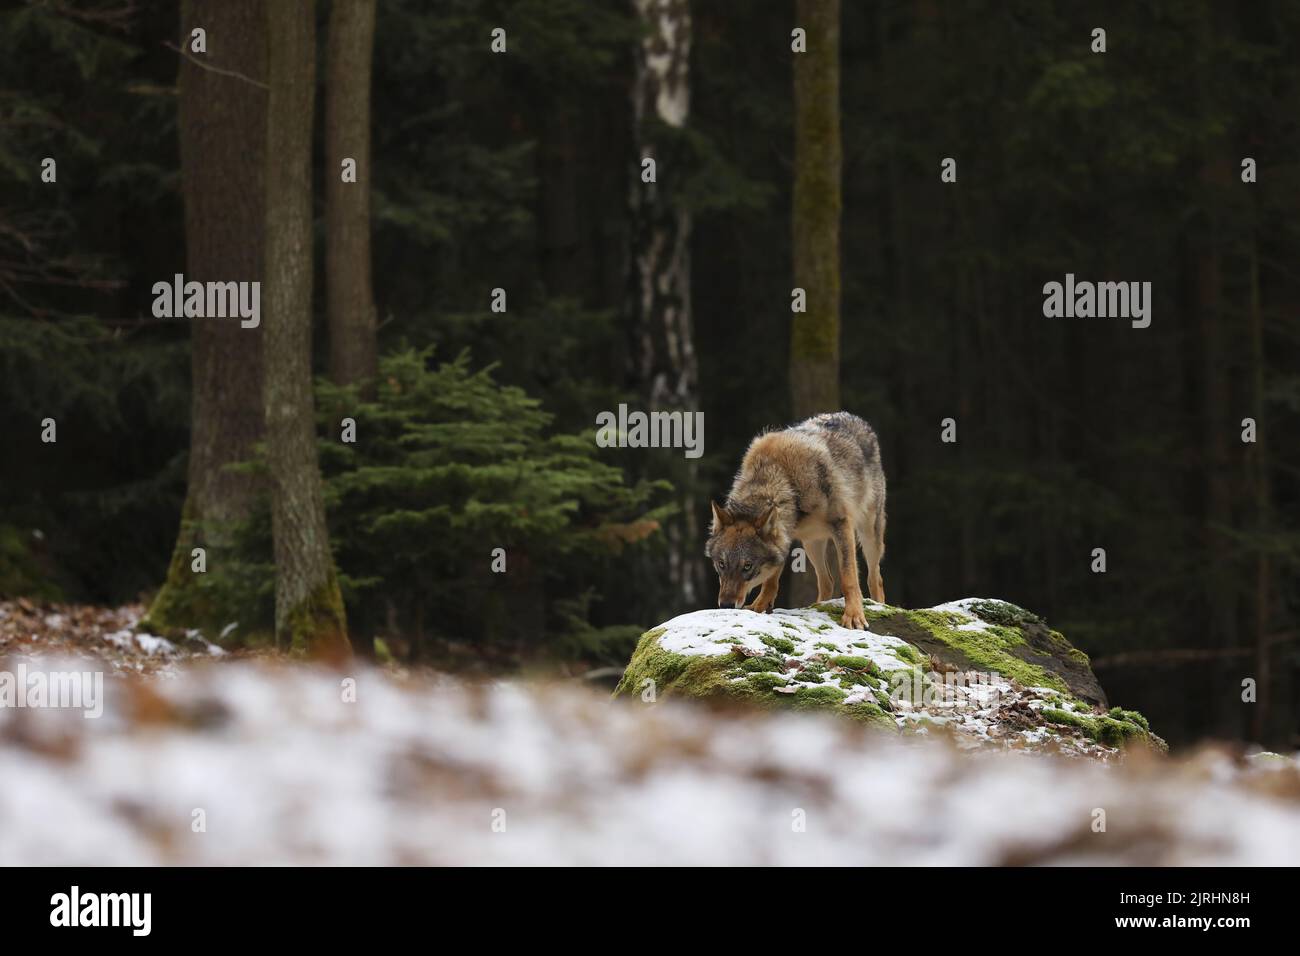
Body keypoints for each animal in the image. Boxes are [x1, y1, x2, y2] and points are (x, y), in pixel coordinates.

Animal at [705, 412, 886, 630]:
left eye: (747, 566)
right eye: (721, 564)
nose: (726, 605)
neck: (783, 477)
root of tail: (857, 419)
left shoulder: (841, 523)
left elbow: (848, 577)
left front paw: (854, 616)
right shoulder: (785, 534)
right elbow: (771, 580)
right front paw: (759, 605)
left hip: (869, 535)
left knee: (874, 578)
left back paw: (878, 604)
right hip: (812, 544)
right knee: (827, 581)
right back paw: (818, 605)